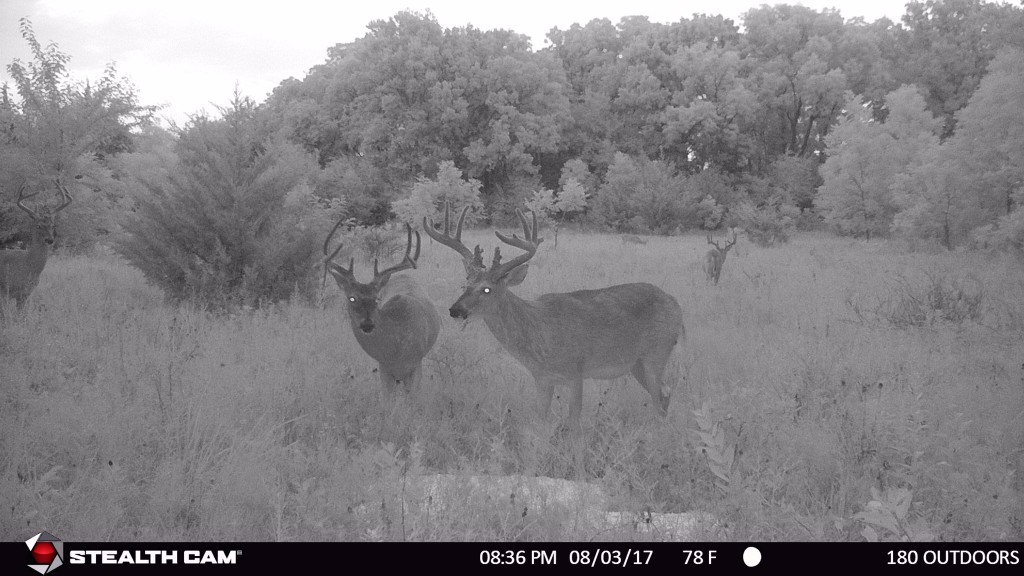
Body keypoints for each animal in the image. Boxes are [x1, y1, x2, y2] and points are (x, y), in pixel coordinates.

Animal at [0, 180, 73, 315]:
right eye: (38, 226)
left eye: (52, 225)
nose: (50, 239)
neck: (28, 266)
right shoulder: (5, 290)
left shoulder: (26, 294)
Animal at [323, 220, 441, 394]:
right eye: (352, 298)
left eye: (377, 299)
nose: (367, 323)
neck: (396, 349)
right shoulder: (384, 369)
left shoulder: (416, 365)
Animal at [424, 203, 684, 425]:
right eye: (465, 283)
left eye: (487, 289)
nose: (455, 310)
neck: (539, 334)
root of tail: (676, 305)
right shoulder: (542, 378)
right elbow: (540, 419)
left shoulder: (576, 371)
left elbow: (573, 422)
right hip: (636, 363)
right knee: (665, 393)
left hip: (656, 352)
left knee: (661, 396)